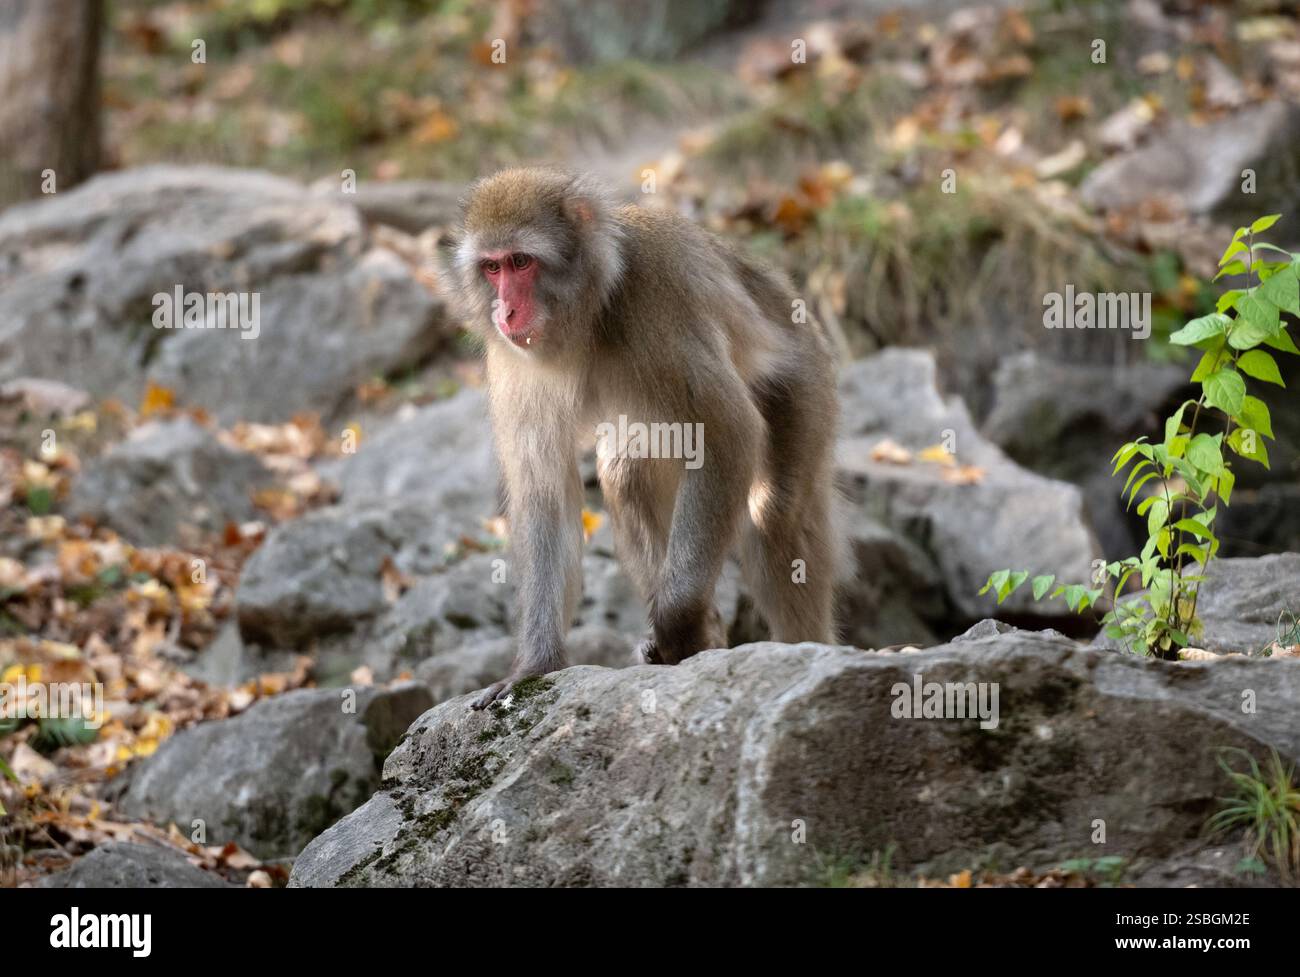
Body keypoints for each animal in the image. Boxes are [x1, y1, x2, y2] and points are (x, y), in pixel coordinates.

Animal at [438, 168, 841, 709]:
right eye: (490, 268)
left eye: (521, 262)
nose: (505, 311)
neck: (592, 309)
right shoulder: (512, 360)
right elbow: (545, 492)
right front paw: (534, 665)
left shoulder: (655, 298)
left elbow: (728, 431)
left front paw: (677, 620)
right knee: (624, 475)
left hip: (806, 380)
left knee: (776, 511)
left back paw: (796, 650)